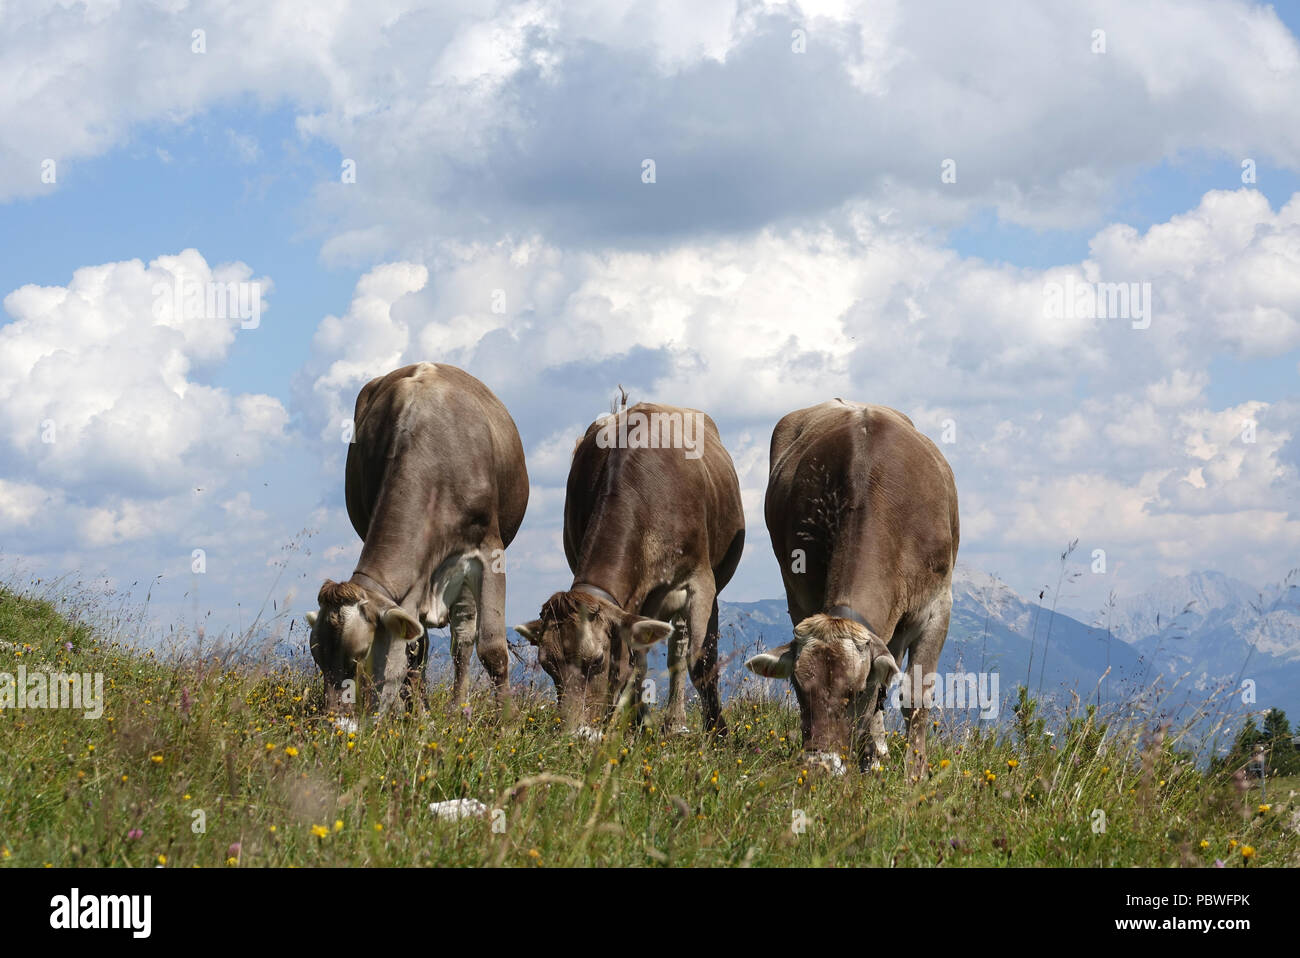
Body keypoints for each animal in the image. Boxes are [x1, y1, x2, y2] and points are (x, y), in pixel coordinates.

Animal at [305, 363, 528, 716]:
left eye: (360, 655)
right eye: (317, 657)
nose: (336, 723)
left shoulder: (489, 549)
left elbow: (492, 647)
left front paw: (507, 720)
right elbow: (414, 649)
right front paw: (418, 715)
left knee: (463, 639)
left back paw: (458, 706)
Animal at [515, 402, 745, 737]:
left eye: (597, 661)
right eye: (548, 665)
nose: (576, 735)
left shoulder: (700, 581)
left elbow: (700, 661)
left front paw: (718, 732)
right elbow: (635, 661)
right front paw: (639, 724)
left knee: (679, 650)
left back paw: (676, 722)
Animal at [745, 400, 959, 779]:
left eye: (855, 691)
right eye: (798, 687)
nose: (820, 765)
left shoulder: (938, 606)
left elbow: (915, 696)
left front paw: (914, 775)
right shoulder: (802, 596)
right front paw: (873, 755)